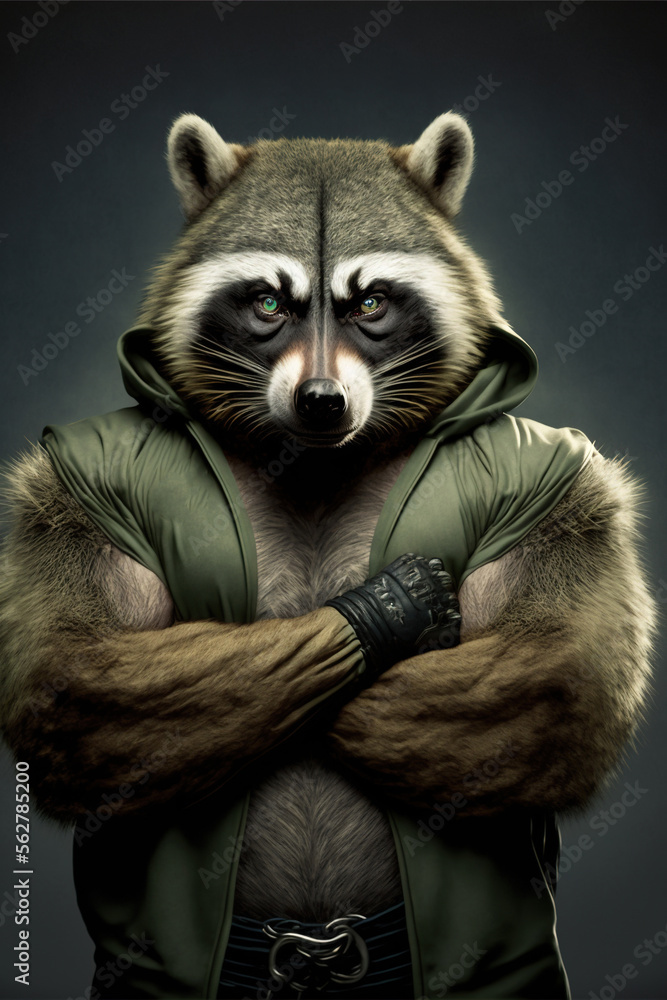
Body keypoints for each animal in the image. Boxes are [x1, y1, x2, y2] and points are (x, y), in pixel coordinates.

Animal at [0, 111, 657, 996]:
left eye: (371, 302)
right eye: (268, 302)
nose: (320, 401)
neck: (314, 460)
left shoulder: (564, 481)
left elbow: (552, 675)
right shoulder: (74, 481)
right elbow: (77, 671)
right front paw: (389, 616)